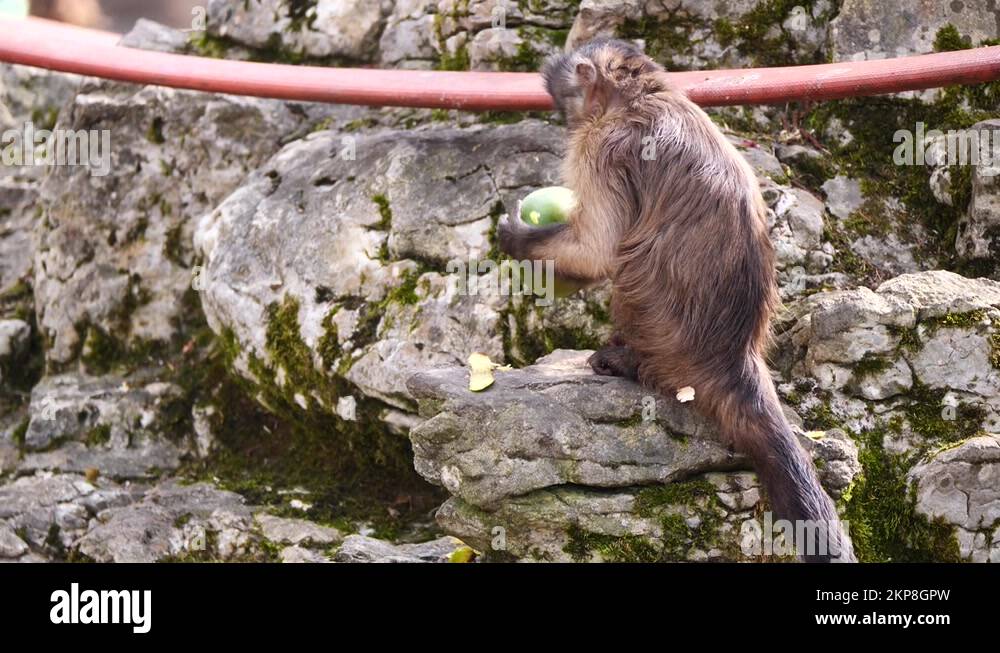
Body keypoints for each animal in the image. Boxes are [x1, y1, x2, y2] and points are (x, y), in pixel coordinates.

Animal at [498, 39, 855, 563]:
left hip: (658, 328)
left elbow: (597, 249)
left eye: (563, 102)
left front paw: (517, 238)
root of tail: (734, 360)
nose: (562, 120)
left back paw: (626, 361)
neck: (642, 95)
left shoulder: (602, 145)